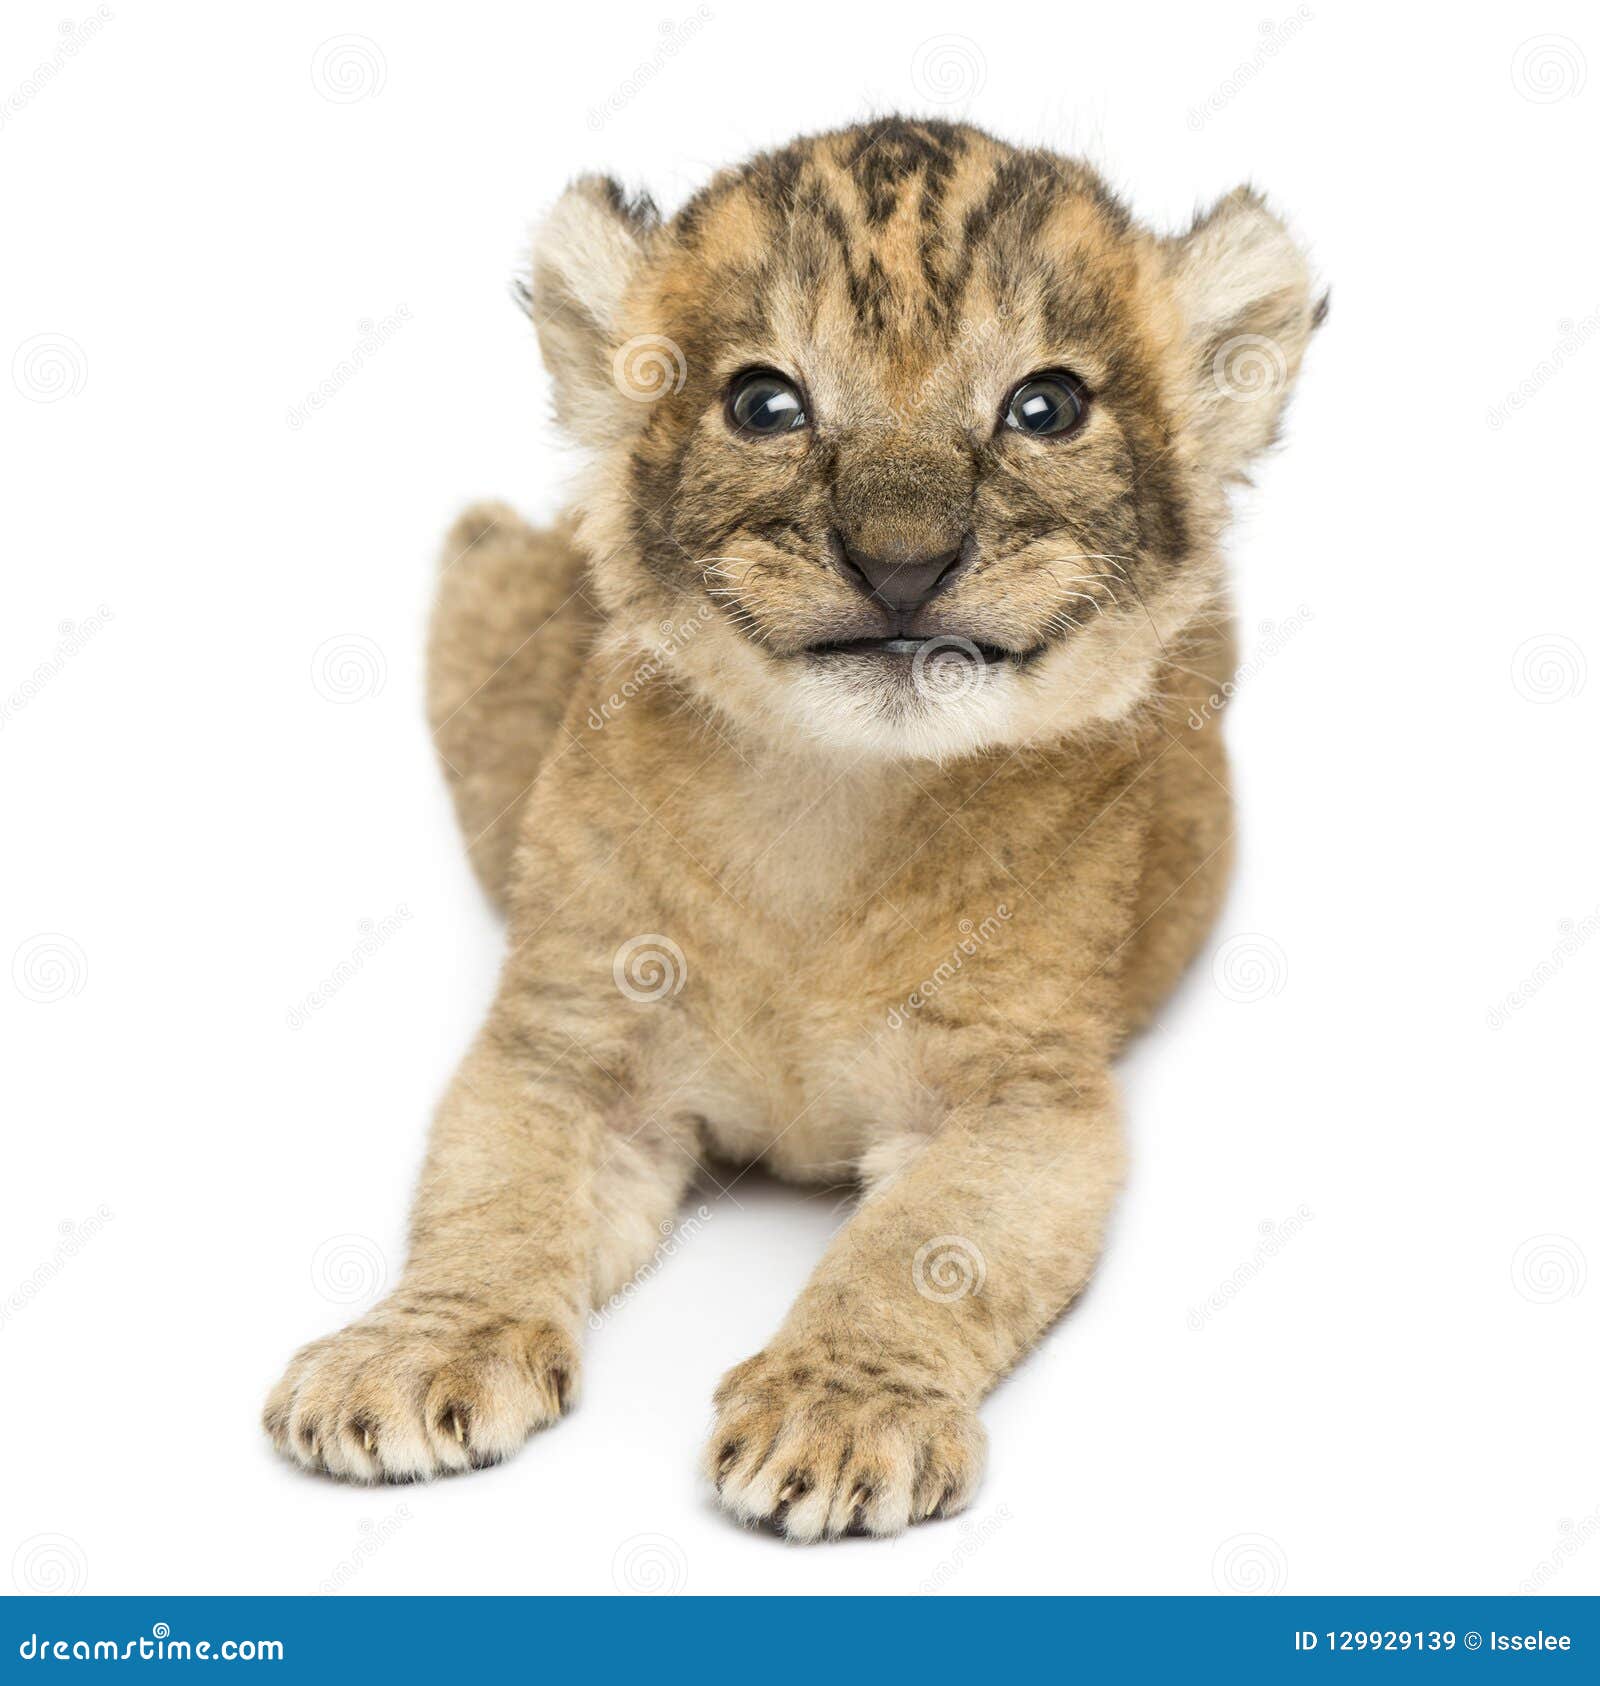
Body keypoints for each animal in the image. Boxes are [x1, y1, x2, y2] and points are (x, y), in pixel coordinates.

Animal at [264, 117, 1321, 1539]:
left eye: (1045, 407)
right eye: (765, 403)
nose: (902, 561)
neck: (831, 803)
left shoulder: (1027, 1096)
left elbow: (921, 1253)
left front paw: (840, 1413)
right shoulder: (566, 1043)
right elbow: (490, 1198)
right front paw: (406, 1354)